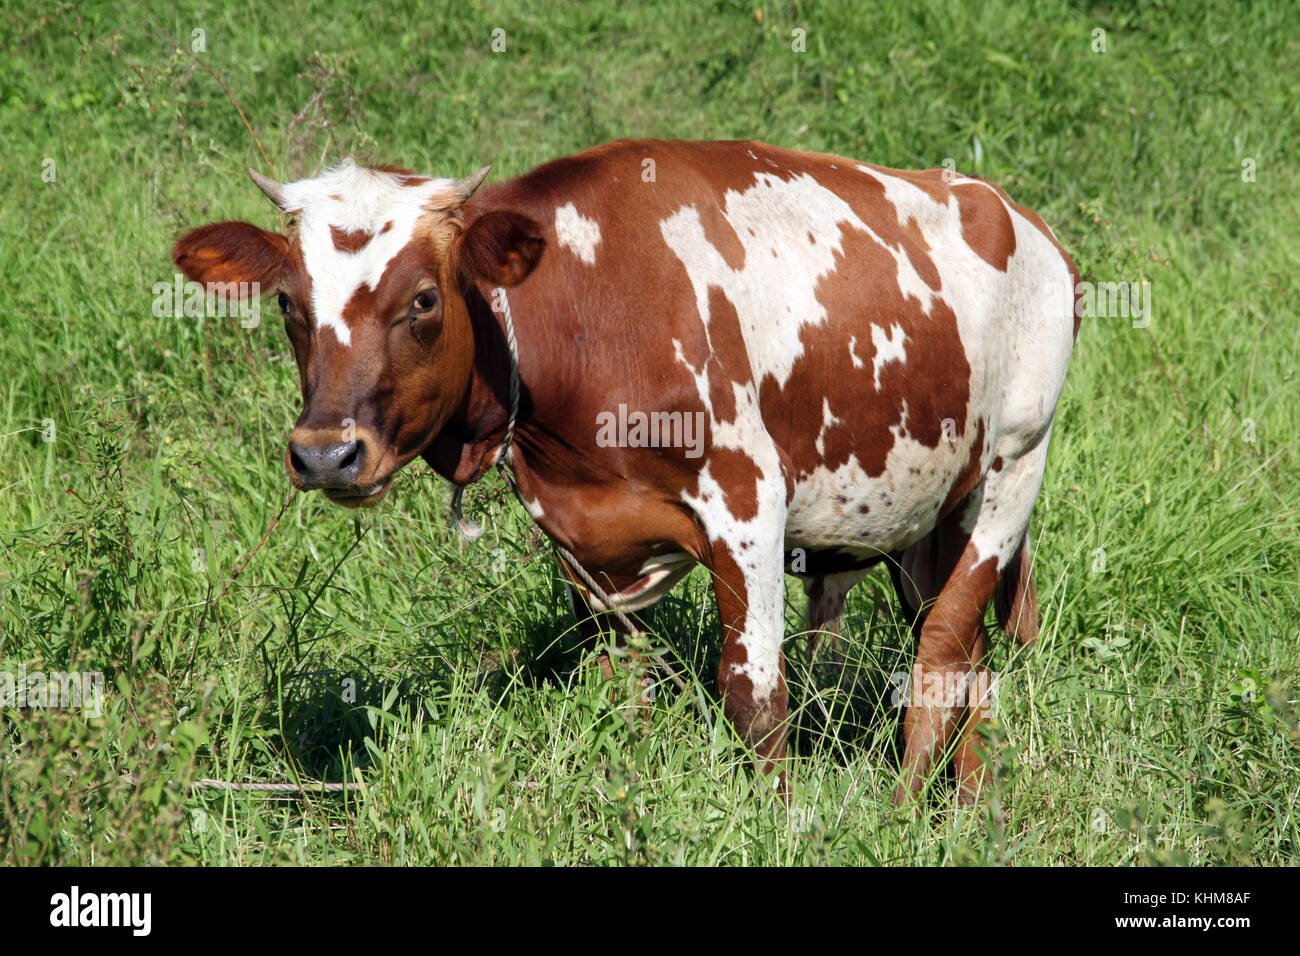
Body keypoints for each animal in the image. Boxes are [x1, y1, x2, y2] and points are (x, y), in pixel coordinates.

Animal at [173, 139, 1078, 804]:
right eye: (288, 303)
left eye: (424, 299)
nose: (326, 452)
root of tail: (1020, 217)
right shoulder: (581, 534)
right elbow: (618, 686)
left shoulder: (749, 504)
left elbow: (755, 697)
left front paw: (780, 818)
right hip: (931, 514)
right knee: (971, 660)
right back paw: (971, 810)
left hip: (1013, 469)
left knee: (940, 654)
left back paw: (908, 811)